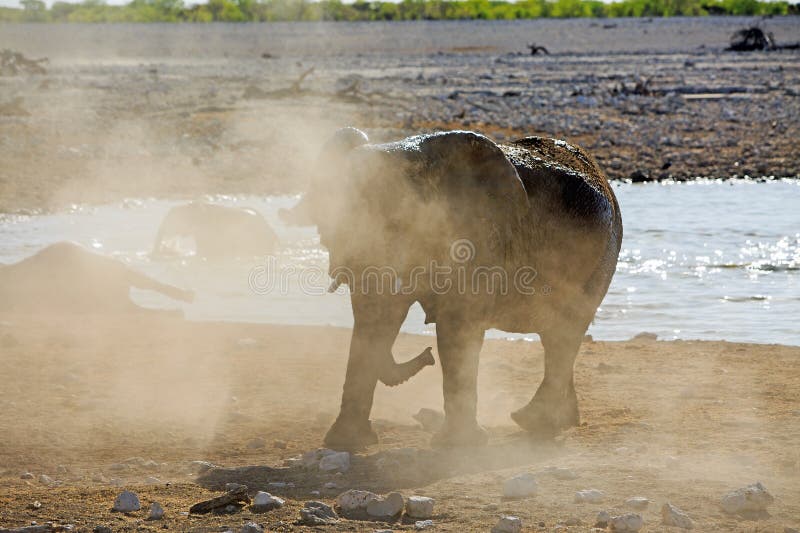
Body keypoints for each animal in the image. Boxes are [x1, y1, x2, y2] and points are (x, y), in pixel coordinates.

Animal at [284, 128, 622, 449]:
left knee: (564, 334)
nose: (426, 355)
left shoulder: (478, 239)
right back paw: (559, 421)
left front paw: (458, 445)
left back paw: (532, 422)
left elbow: (457, 327)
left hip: (599, 260)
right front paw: (346, 443)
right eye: (330, 230)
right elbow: (378, 319)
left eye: (402, 224)